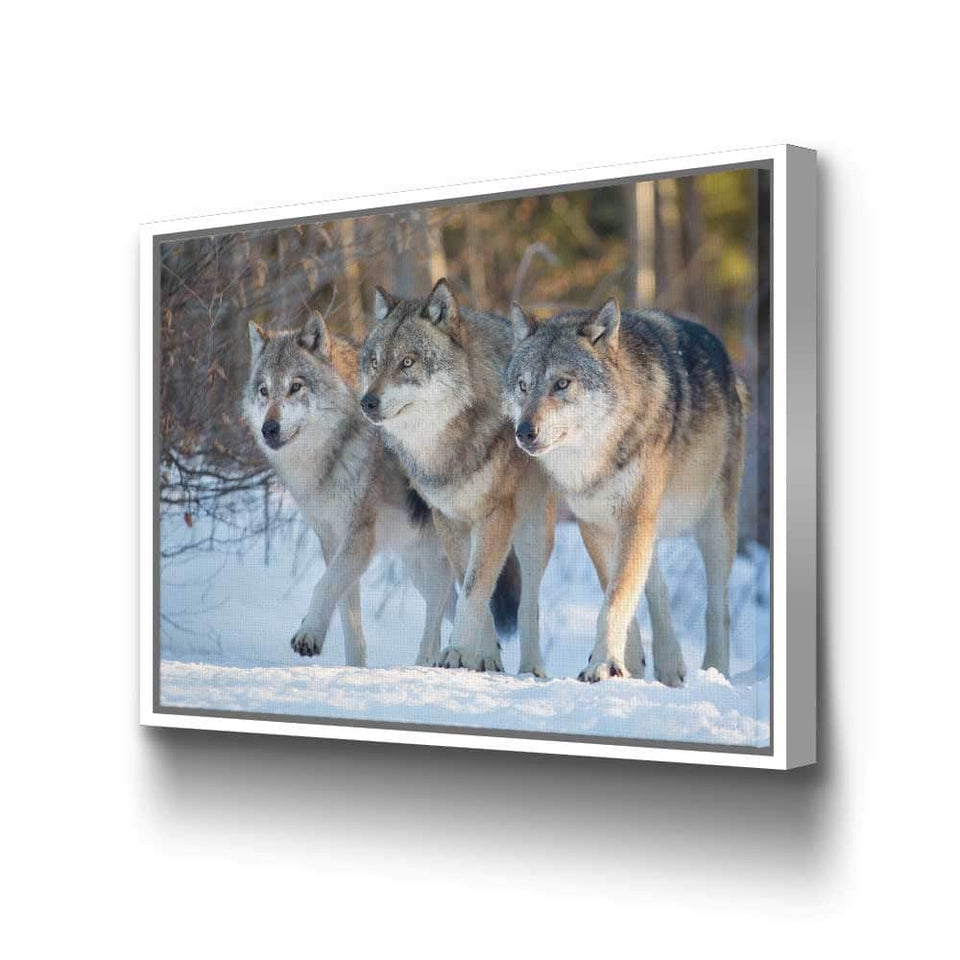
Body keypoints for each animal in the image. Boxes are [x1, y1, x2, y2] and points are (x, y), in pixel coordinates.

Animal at [243, 312, 462, 668]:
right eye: (264, 390)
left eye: (295, 387)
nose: (268, 428)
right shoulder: (333, 540)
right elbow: (348, 617)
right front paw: (354, 668)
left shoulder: (360, 537)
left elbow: (323, 586)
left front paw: (308, 634)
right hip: (420, 565)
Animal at [358, 279, 555, 676]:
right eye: (374, 362)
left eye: (407, 362)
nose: (367, 402)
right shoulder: (448, 519)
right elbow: (471, 586)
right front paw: (478, 656)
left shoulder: (496, 516)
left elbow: (475, 589)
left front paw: (457, 651)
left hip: (533, 531)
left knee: (530, 602)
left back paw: (532, 668)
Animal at [505, 298, 749, 684]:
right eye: (523, 385)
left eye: (562, 383)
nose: (524, 432)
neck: (595, 457)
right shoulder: (595, 525)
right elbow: (617, 594)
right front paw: (624, 666)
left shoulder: (634, 518)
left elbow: (616, 597)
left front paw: (603, 663)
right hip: (651, 526)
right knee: (657, 586)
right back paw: (669, 664)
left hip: (713, 528)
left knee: (718, 607)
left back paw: (714, 672)